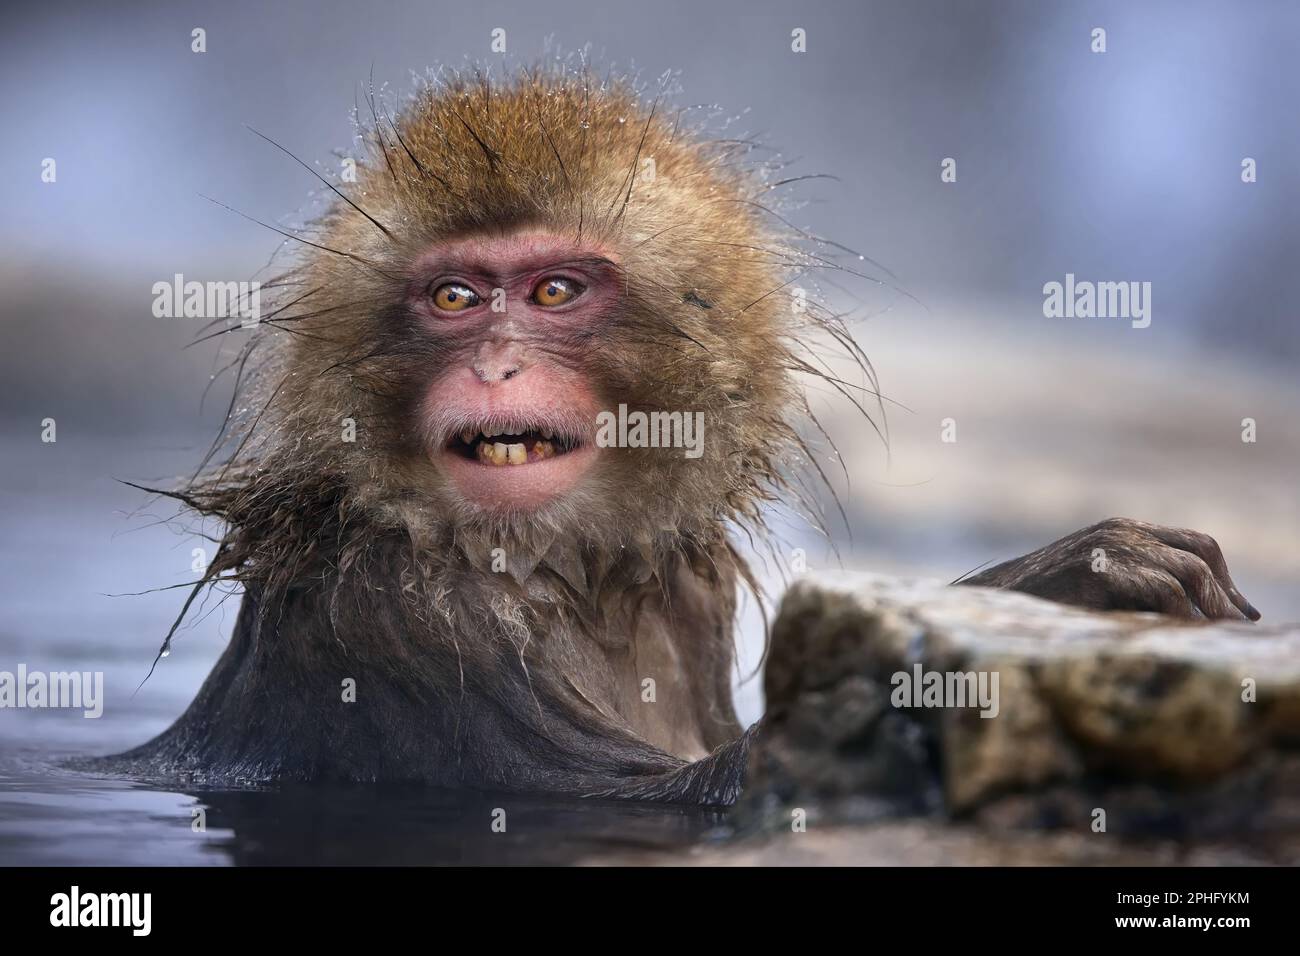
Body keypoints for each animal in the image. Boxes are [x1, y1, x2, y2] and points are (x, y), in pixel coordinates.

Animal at [98, 66, 1258, 805]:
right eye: (456, 296)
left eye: (553, 290)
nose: (495, 363)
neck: (552, 573)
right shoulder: (390, 616)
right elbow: (722, 788)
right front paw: (1065, 574)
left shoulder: (685, 594)